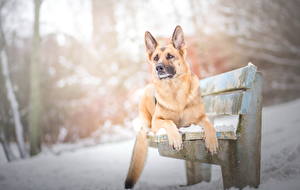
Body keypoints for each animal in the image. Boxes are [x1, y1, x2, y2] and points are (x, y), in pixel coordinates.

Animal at [124, 25, 218, 189]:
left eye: (170, 56)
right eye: (155, 58)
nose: (158, 68)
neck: (175, 91)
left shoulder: (201, 117)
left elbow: (209, 125)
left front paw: (212, 142)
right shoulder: (157, 121)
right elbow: (169, 122)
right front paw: (175, 139)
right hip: (148, 95)